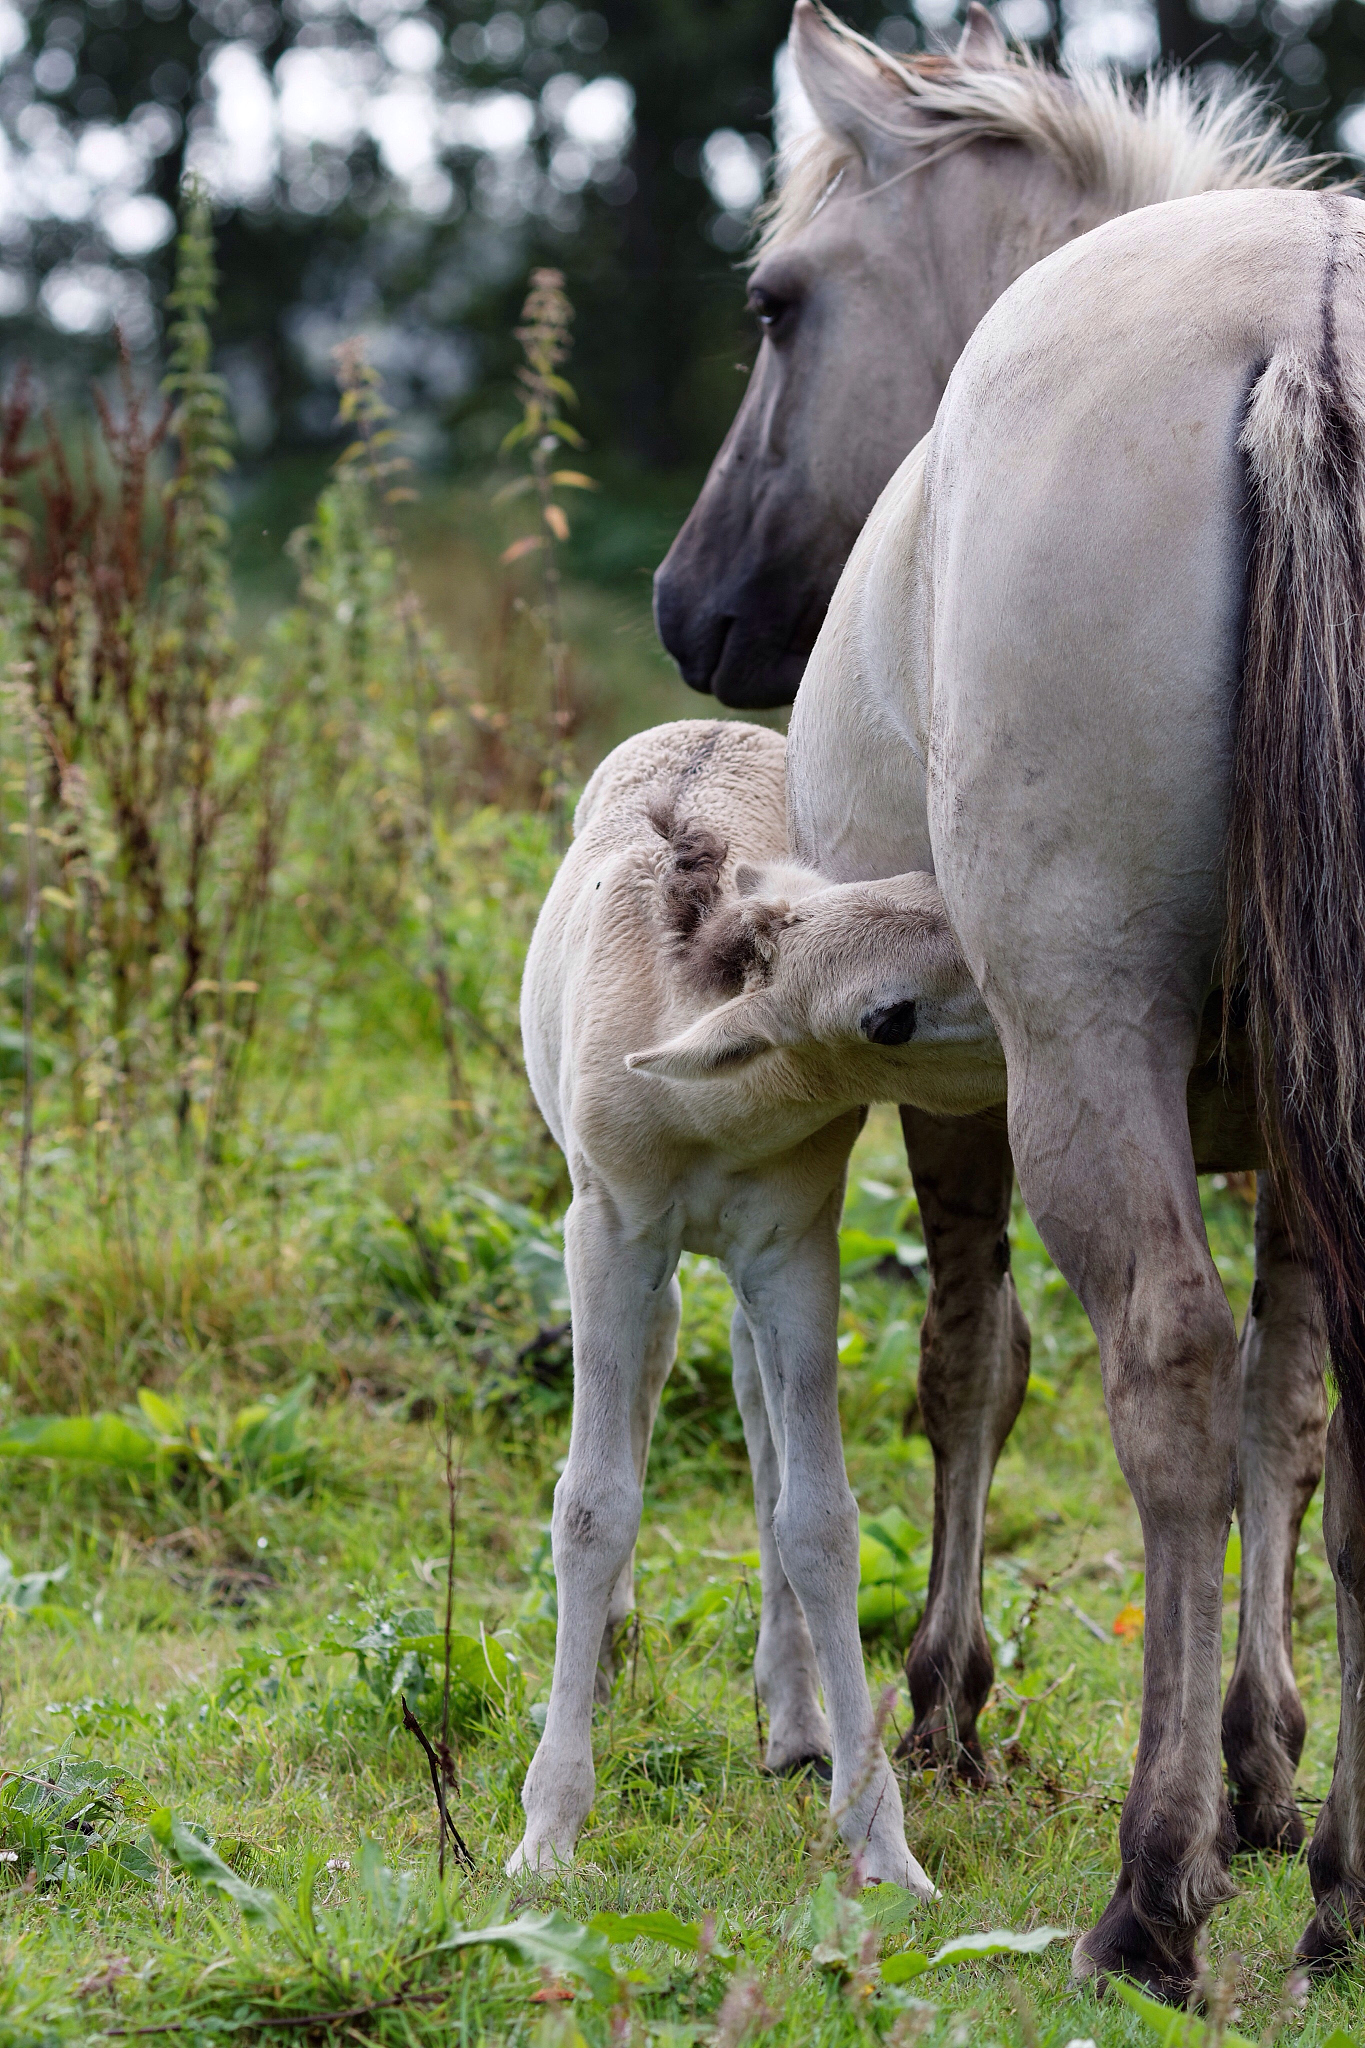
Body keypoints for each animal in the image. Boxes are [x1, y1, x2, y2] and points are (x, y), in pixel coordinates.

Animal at [654, 5, 1334, 1994]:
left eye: (780, 301)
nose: (690, 605)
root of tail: (1294, 333)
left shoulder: (950, 1087)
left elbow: (978, 1369)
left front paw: (948, 1700)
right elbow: (1297, 1416)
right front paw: (1272, 1769)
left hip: (1069, 1049)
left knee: (1160, 1371)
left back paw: (1148, 1896)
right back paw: (1335, 1885)